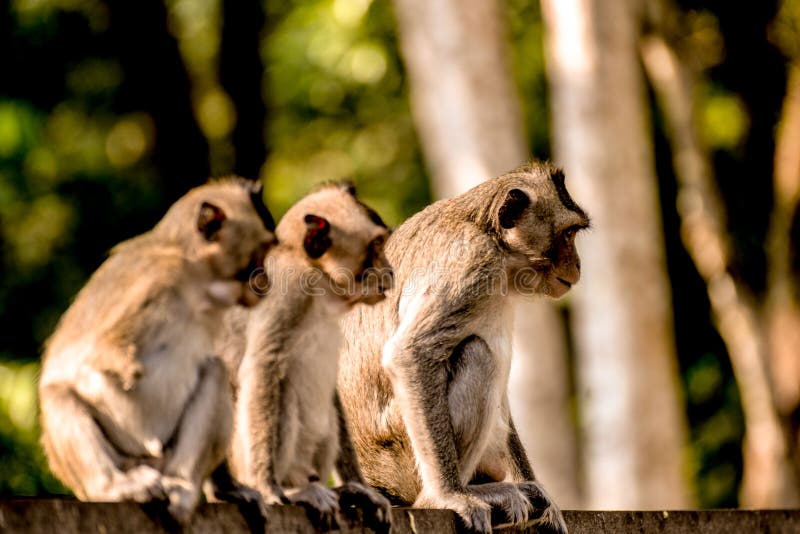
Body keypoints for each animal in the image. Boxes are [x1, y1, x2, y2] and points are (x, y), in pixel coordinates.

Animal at [38, 179, 277, 524]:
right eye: (263, 250)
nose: (266, 280)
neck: (197, 277)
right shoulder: (154, 281)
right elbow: (89, 359)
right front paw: (126, 373)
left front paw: (230, 489)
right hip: (119, 463)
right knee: (58, 392)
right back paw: (114, 486)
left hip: (168, 460)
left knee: (215, 371)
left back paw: (184, 484)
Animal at [212, 182, 394, 532]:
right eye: (377, 244)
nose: (390, 272)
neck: (315, 277)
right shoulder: (285, 293)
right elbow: (263, 367)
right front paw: (268, 488)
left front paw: (360, 486)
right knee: (280, 393)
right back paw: (294, 488)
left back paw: (342, 490)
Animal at [337, 161, 588, 533]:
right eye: (569, 234)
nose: (579, 265)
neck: (493, 239)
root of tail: (378, 483)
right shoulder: (471, 262)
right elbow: (412, 354)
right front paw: (448, 496)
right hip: (404, 462)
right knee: (478, 355)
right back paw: (457, 494)